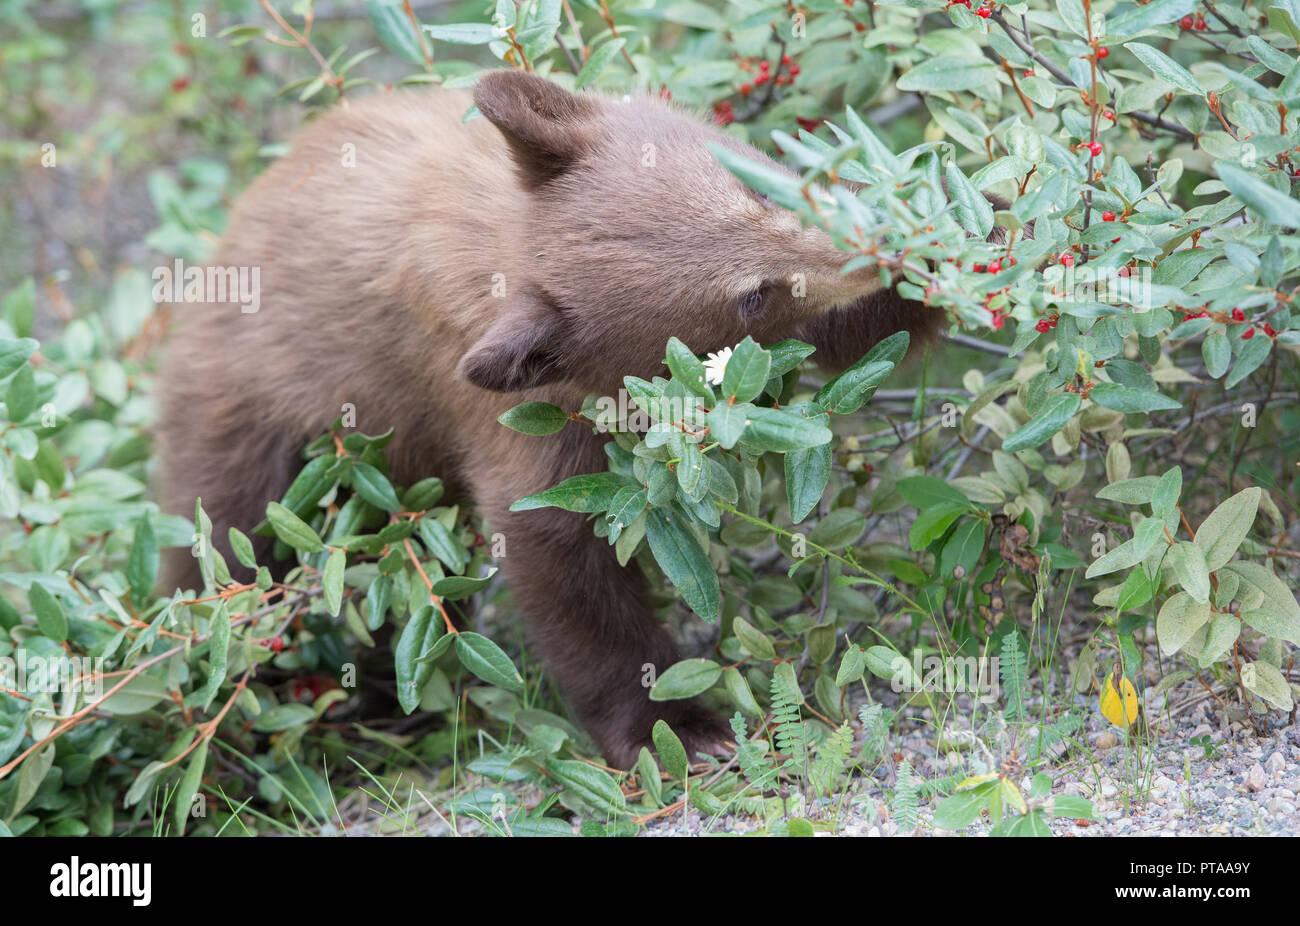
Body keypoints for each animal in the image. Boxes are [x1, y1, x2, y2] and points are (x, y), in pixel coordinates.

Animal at [157, 70, 945, 768]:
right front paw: (678, 730)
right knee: (219, 543)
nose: (871, 254)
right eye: (750, 296)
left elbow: (854, 343)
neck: (502, 231)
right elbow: (553, 545)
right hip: (247, 420)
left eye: (752, 188)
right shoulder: (517, 404)